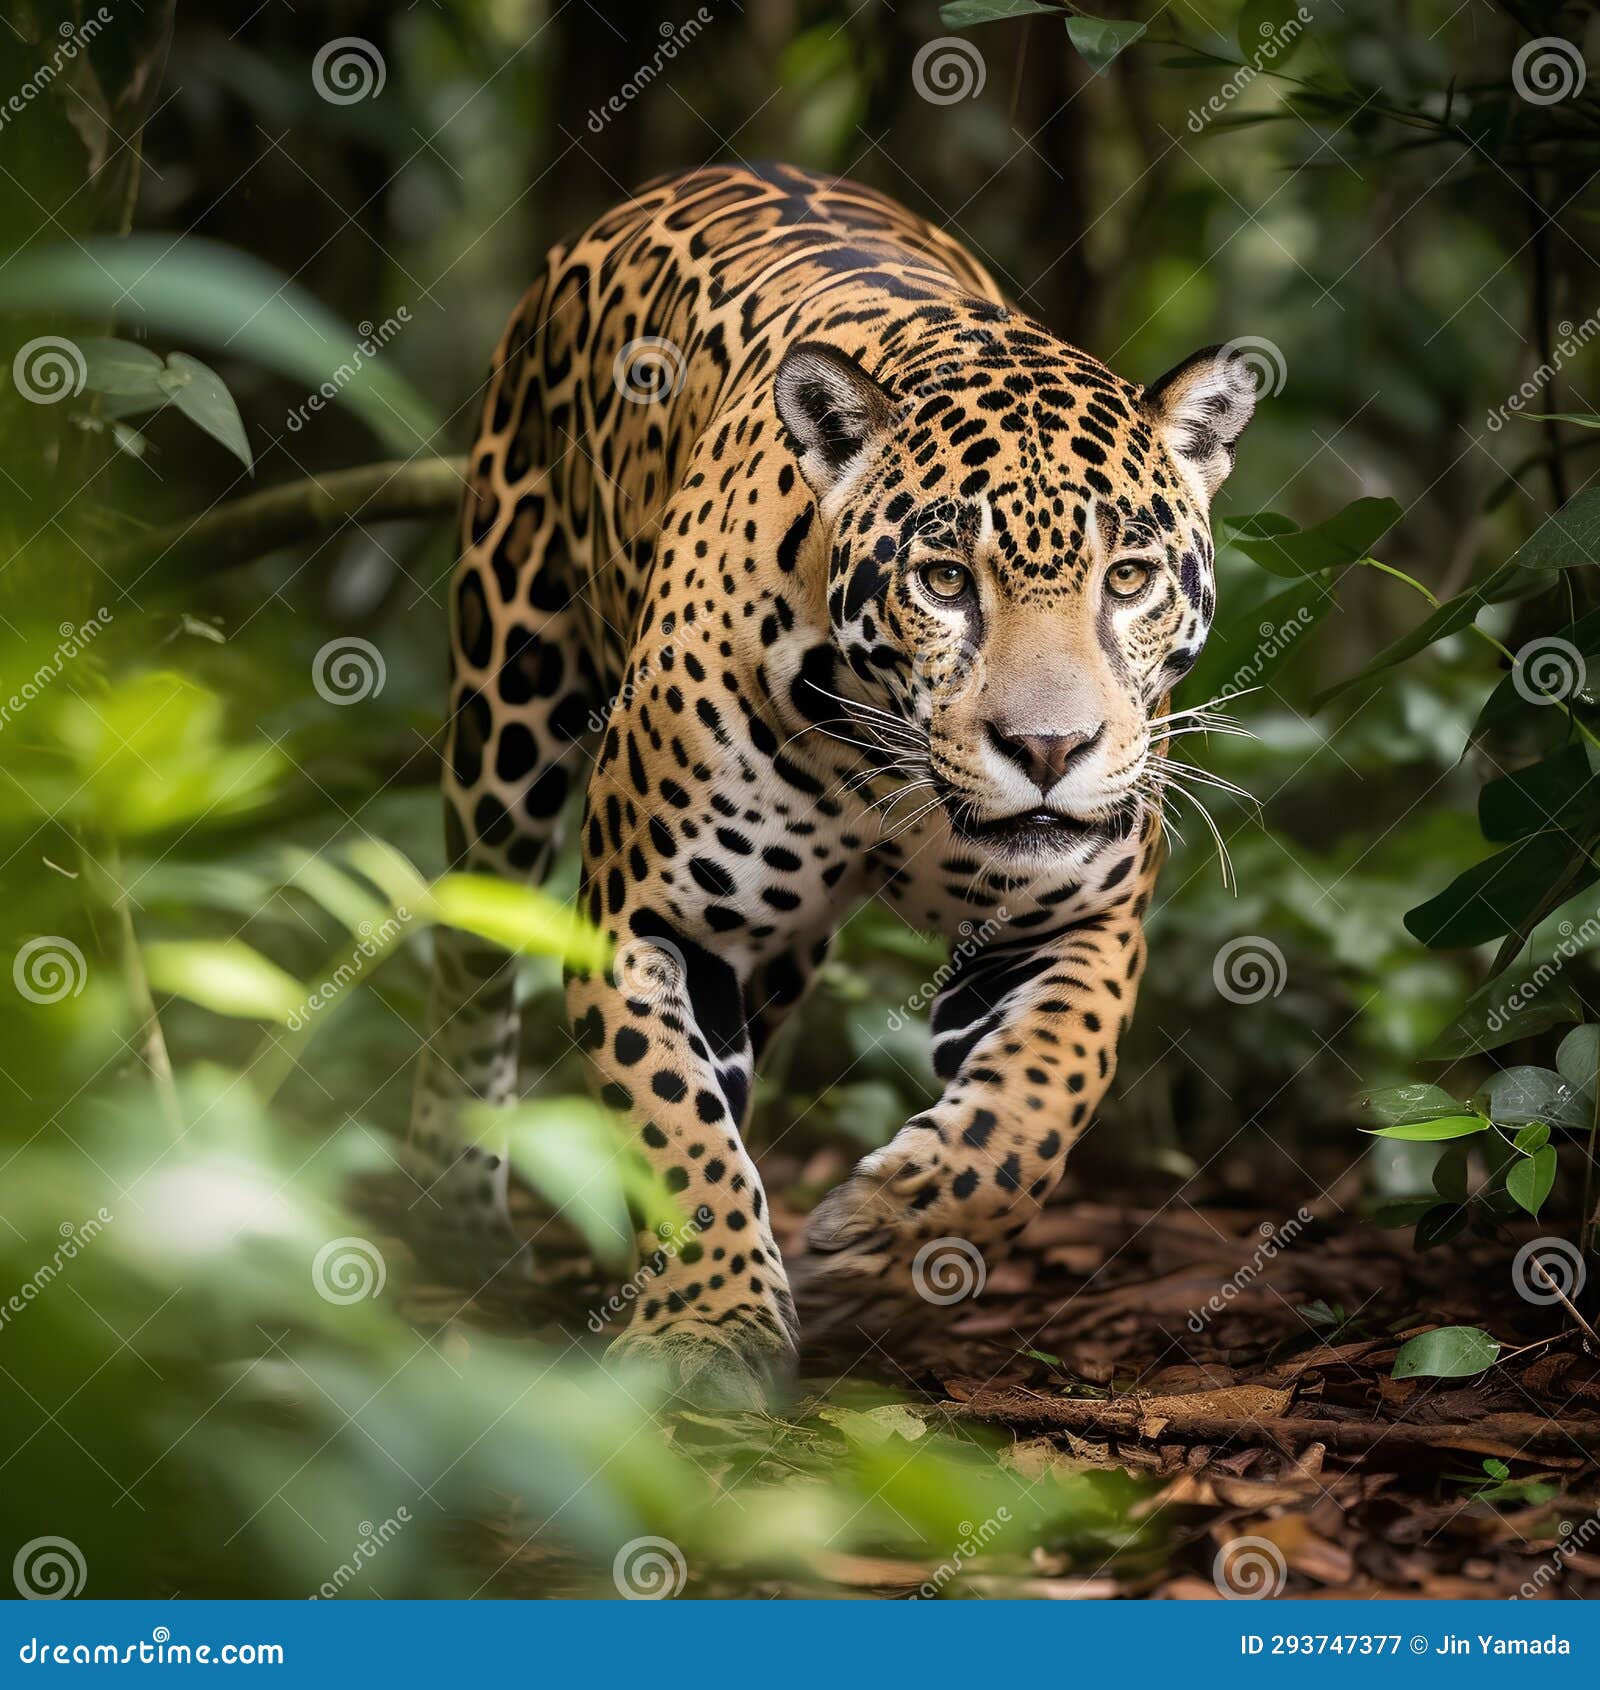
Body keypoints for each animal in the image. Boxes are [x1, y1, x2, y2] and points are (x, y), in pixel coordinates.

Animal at [407, 161, 1255, 1410]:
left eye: (1129, 578)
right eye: (944, 581)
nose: (1049, 749)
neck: (875, 751)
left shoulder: (1078, 923)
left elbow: (1035, 1111)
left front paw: (881, 1230)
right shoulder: (648, 922)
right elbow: (677, 1134)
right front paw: (711, 1320)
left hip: (780, 948)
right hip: (506, 698)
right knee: (468, 958)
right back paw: (458, 1217)